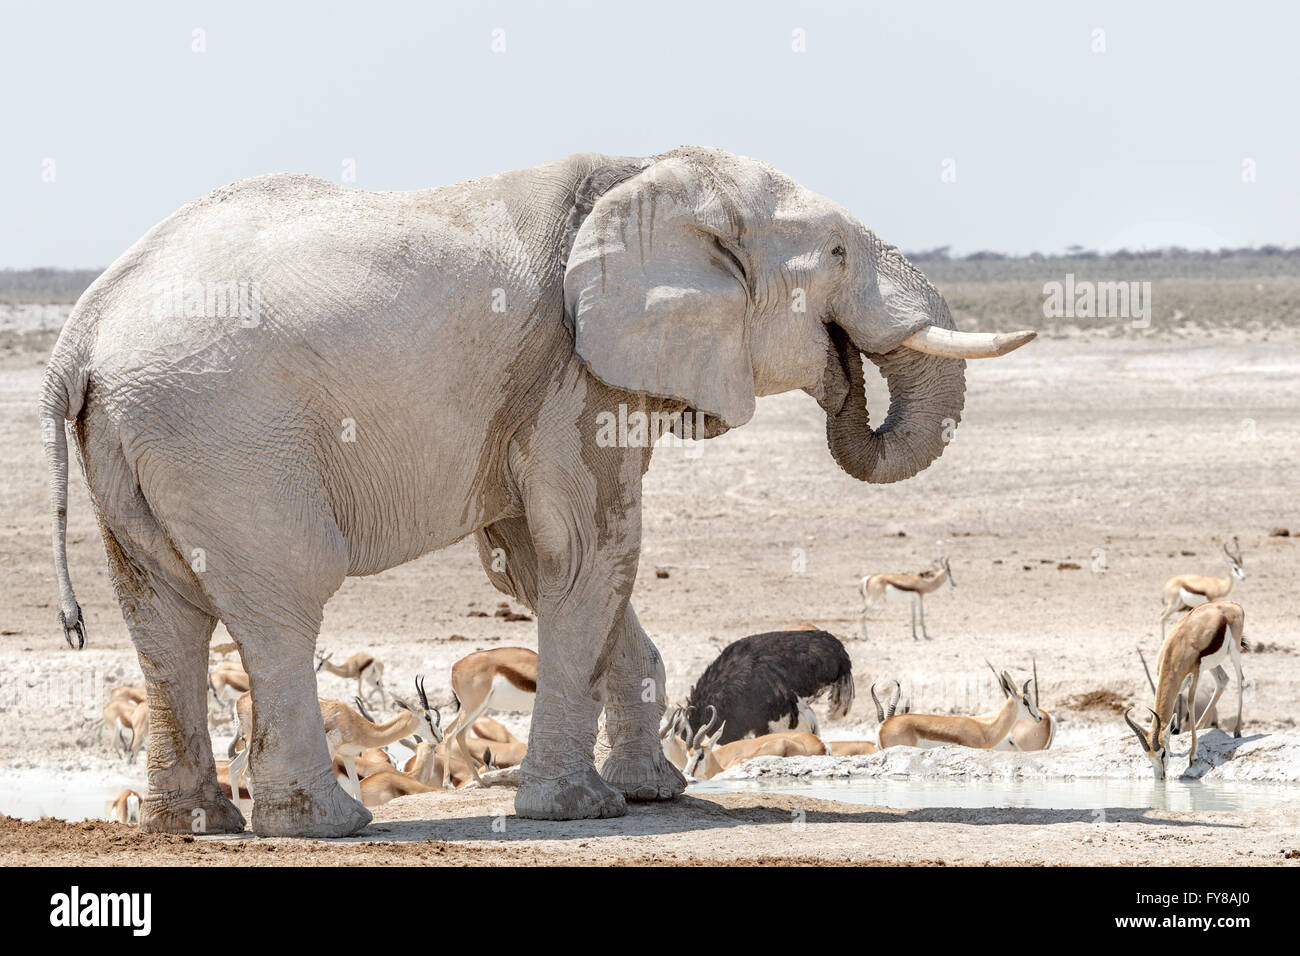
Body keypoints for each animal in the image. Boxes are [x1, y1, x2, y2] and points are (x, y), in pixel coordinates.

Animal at [40, 146, 1034, 836]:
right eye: (834, 253)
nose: (844, 380)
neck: (648, 170)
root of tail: (78, 336)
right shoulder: (573, 376)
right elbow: (595, 554)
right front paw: (578, 812)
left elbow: (561, 569)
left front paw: (649, 793)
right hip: (228, 439)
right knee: (281, 608)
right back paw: (325, 827)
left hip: (137, 441)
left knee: (163, 619)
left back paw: (196, 825)